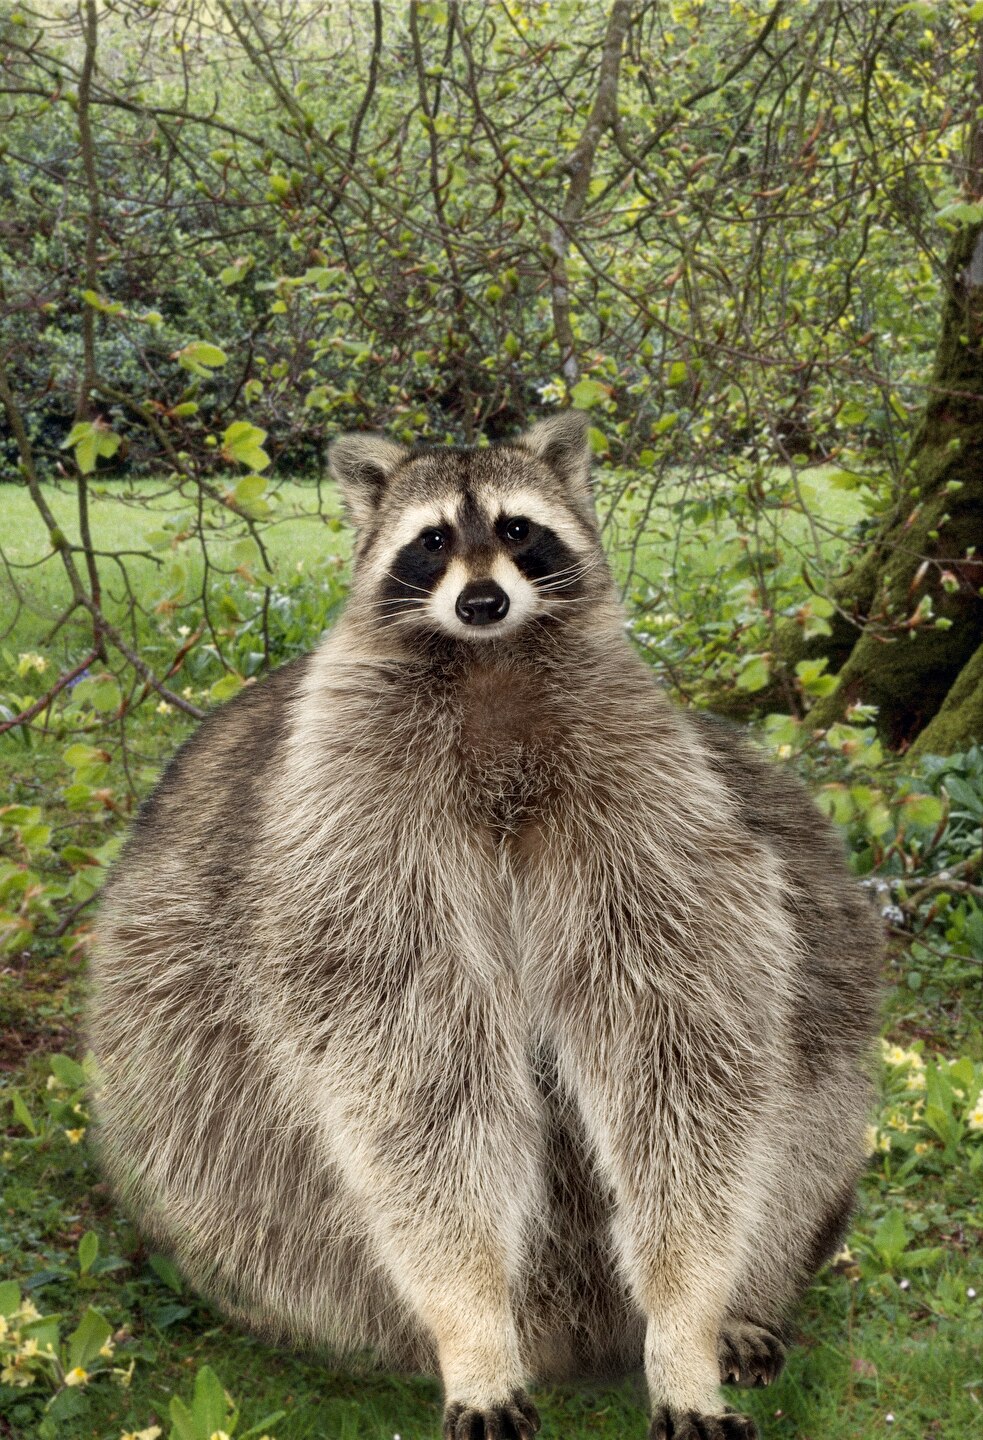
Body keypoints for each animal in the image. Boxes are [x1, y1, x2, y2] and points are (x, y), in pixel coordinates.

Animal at [88, 414, 881, 1440]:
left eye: (516, 530)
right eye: (430, 540)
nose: (480, 600)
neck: (489, 666)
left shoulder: (646, 798)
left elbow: (679, 1043)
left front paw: (687, 1322)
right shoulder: (352, 827)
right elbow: (412, 1078)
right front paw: (469, 1321)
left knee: (807, 1123)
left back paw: (751, 1294)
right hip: (176, 1068)